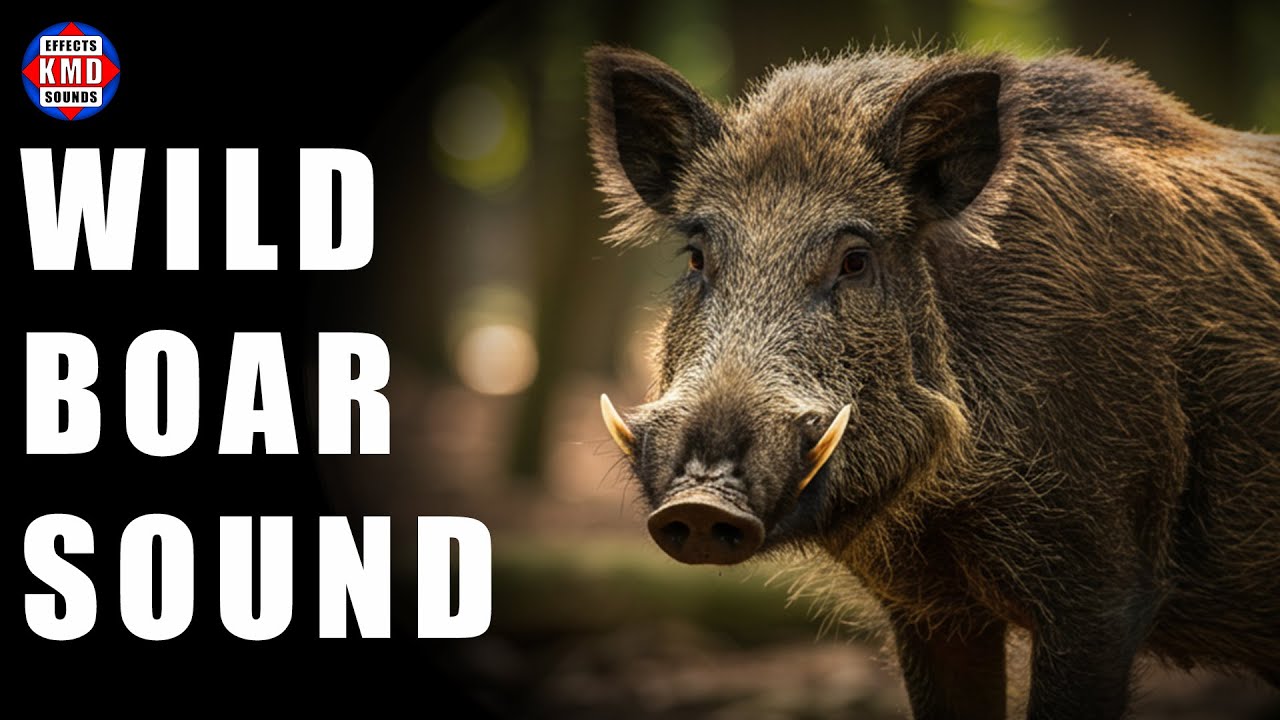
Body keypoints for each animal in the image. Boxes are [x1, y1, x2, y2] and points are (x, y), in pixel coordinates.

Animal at [586, 45, 1280, 719]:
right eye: (697, 257)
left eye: (855, 260)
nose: (700, 503)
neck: (944, 510)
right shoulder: (931, 609)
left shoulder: (1103, 585)